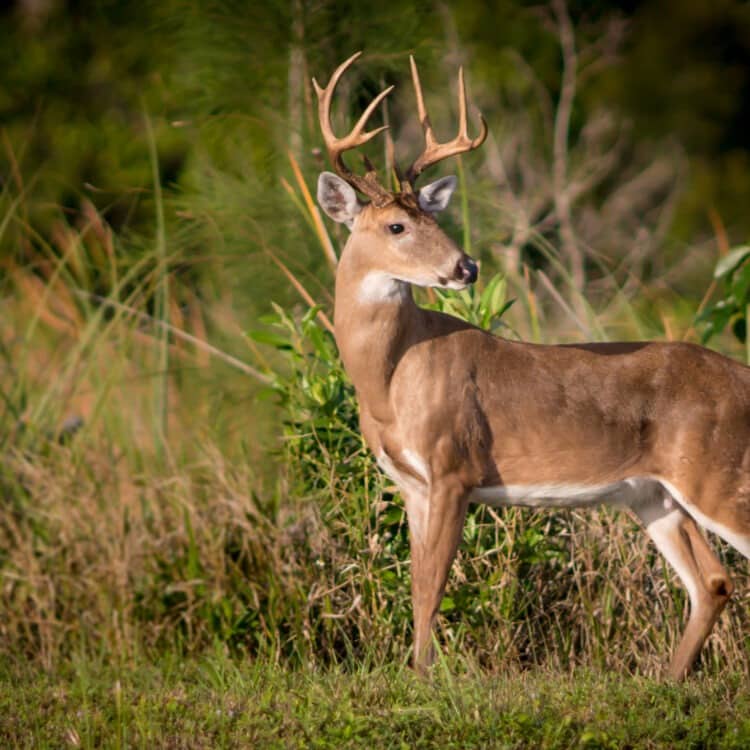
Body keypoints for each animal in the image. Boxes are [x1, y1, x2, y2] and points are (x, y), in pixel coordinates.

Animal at [312, 51, 750, 680]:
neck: (389, 381)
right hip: (655, 494)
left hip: (718, 472)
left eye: (437, 220)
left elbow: (432, 587)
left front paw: (420, 679)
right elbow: (417, 587)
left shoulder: (454, 465)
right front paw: (416, 673)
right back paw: (669, 680)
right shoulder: (413, 485)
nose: (467, 267)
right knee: (711, 582)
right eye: (397, 226)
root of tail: (743, 376)